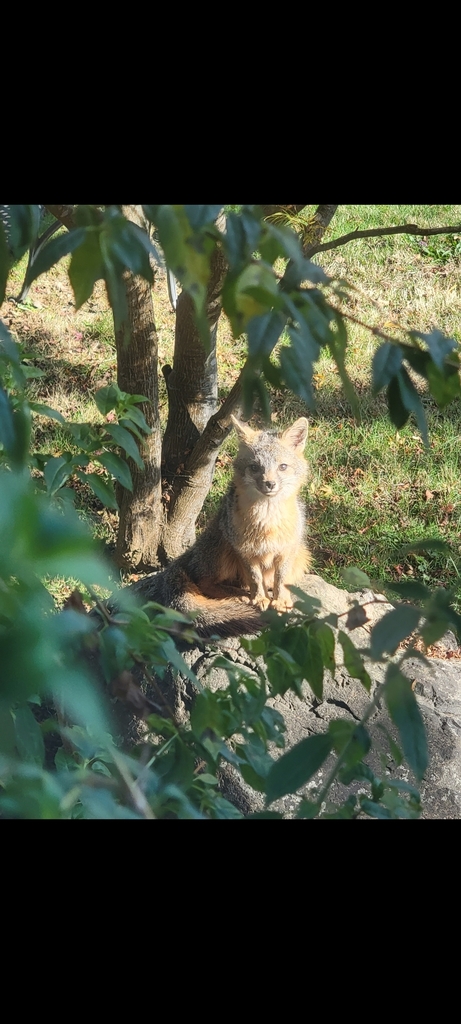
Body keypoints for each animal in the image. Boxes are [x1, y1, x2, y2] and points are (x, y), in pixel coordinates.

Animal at [128, 415, 311, 637]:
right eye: (255, 467)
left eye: (282, 467)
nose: (270, 484)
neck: (267, 522)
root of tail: (188, 554)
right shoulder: (244, 551)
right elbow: (255, 578)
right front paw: (259, 599)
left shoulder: (287, 551)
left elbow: (280, 578)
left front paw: (280, 600)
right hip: (221, 545)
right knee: (204, 581)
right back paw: (238, 595)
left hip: (302, 556)